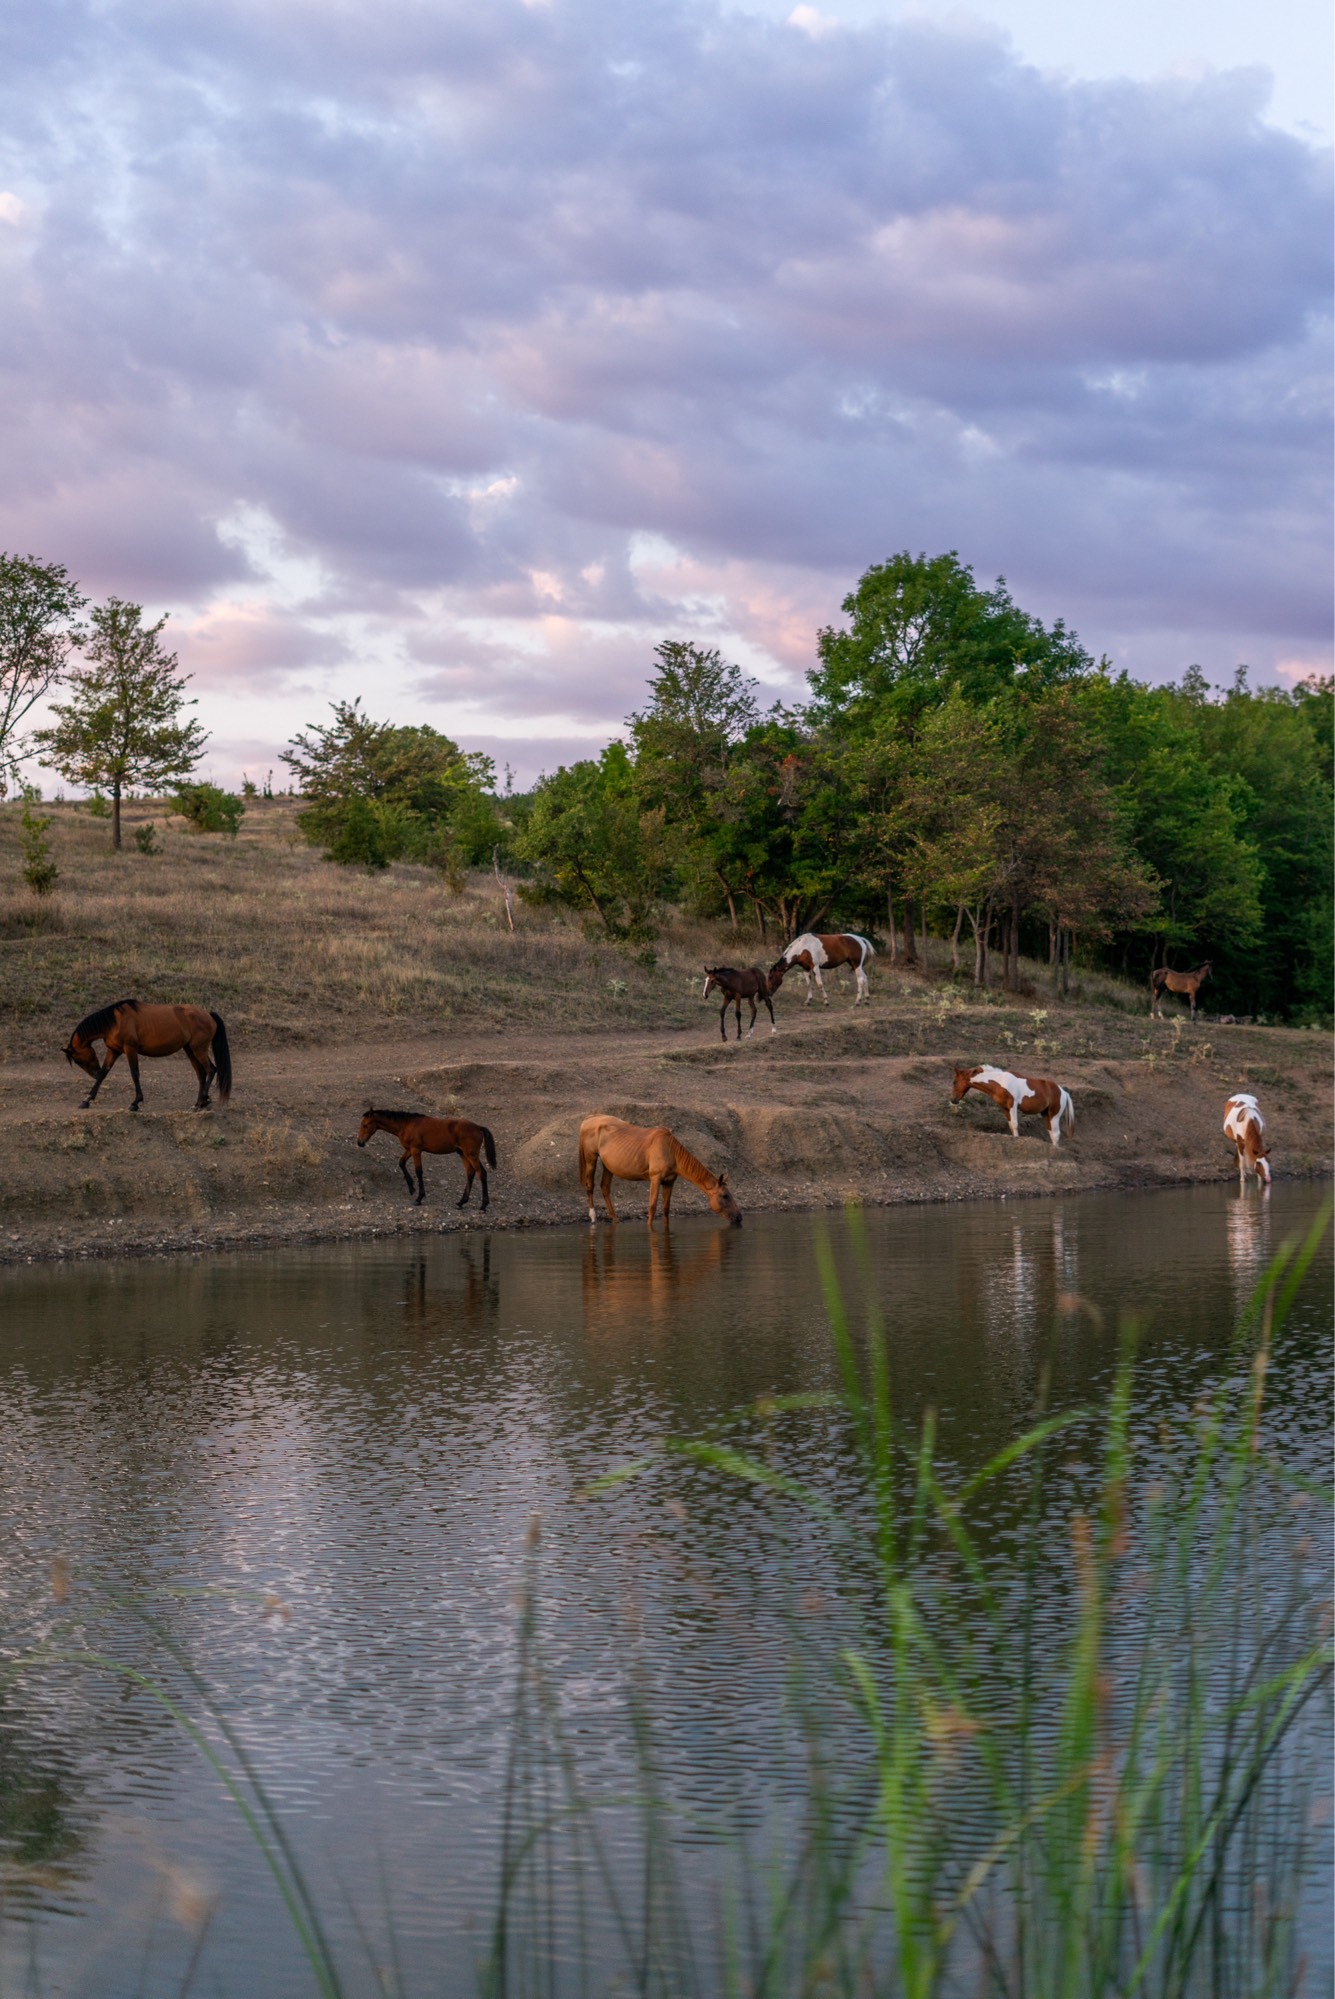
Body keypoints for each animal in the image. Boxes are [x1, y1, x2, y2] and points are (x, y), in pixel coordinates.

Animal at [62, 995, 230, 1111]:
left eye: (77, 1060)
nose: (93, 1074)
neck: (115, 1022)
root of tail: (208, 1015)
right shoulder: (114, 1050)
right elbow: (104, 1073)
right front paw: (86, 1100)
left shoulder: (130, 1049)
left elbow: (135, 1073)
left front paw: (135, 1103)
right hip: (190, 1050)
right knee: (201, 1074)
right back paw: (198, 1104)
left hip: (198, 1049)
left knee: (211, 1070)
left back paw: (204, 1100)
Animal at [357, 1103, 497, 1207]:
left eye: (365, 1125)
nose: (360, 1143)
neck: (406, 1124)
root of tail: (478, 1127)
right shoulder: (410, 1149)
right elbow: (401, 1163)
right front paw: (411, 1187)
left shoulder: (416, 1150)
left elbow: (419, 1171)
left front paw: (419, 1198)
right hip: (463, 1154)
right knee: (470, 1174)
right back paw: (461, 1202)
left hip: (471, 1154)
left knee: (481, 1173)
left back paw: (483, 1205)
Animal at [575, 1119, 739, 1223]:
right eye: (725, 1196)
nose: (739, 1218)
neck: (671, 1151)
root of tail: (587, 1120)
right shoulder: (655, 1179)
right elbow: (652, 1208)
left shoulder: (669, 1182)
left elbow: (666, 1209)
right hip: (591, 1159)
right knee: (590, 1186)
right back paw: (593, 1217)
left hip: (608, 1166)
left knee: (605, 1187)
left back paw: (614, 1218)